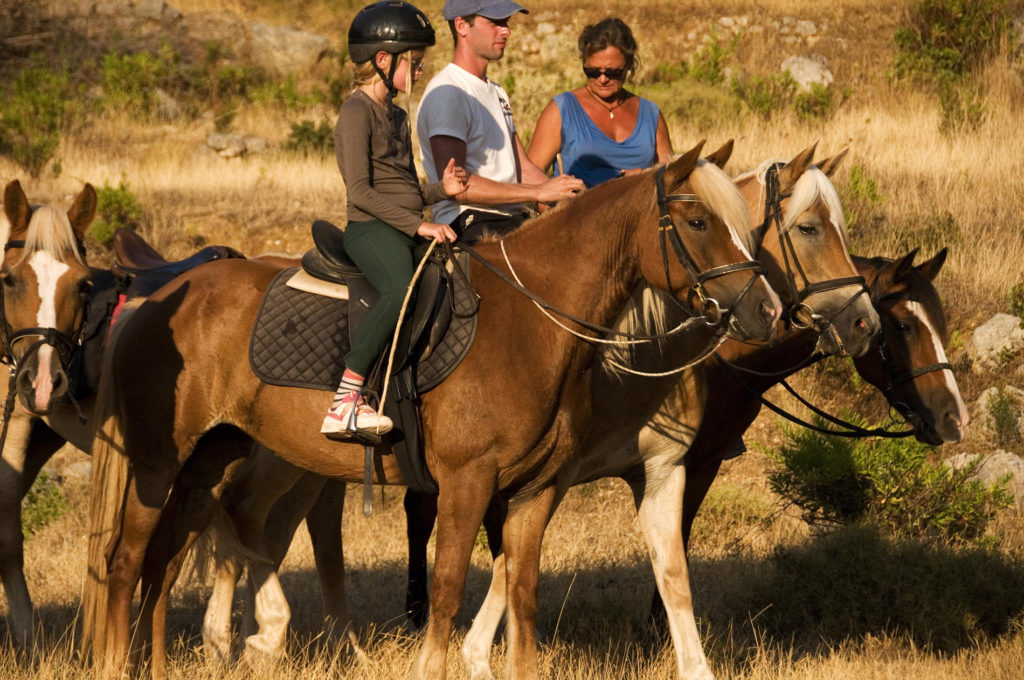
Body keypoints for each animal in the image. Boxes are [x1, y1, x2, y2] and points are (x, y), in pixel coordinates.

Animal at [81, 141, 783, 680]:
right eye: (698, 222)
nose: (767, 310)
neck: (530, 318)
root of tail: (156, 299)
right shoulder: (467, 484)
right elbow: (446, 592)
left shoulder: (535, 491)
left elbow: (521, 593)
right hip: (159, 464)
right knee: (127, 560)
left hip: (209, 459)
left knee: (165, 562)